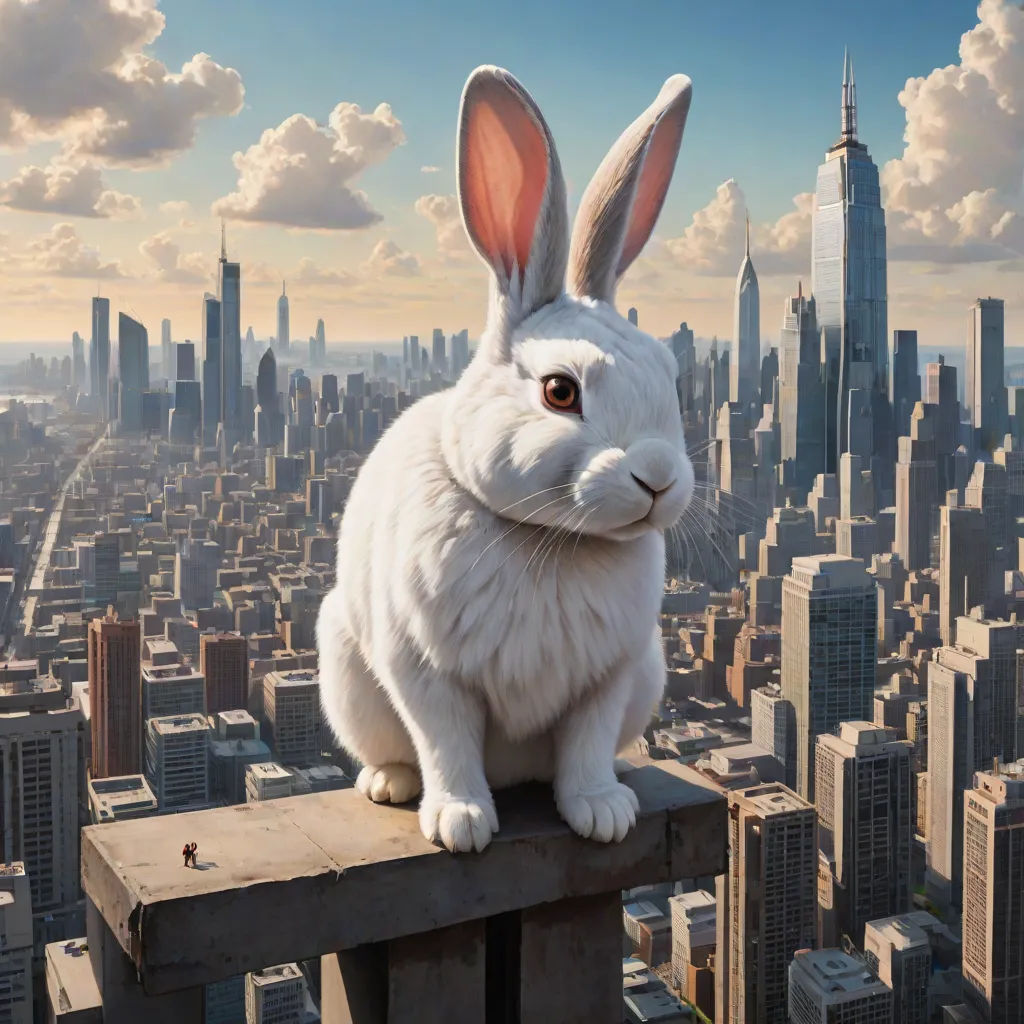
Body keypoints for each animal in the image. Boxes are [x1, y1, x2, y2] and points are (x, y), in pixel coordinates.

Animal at [317, 65, 694, 853]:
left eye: (671, 375)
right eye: (560, 390)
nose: (659, 478)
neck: (549, 540)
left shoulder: (610, 675)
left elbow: (587, 742)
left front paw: (602, 812)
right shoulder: (424, 667)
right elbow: (446, 742)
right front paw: (459, 821)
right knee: (401, 751)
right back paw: (390, 783)